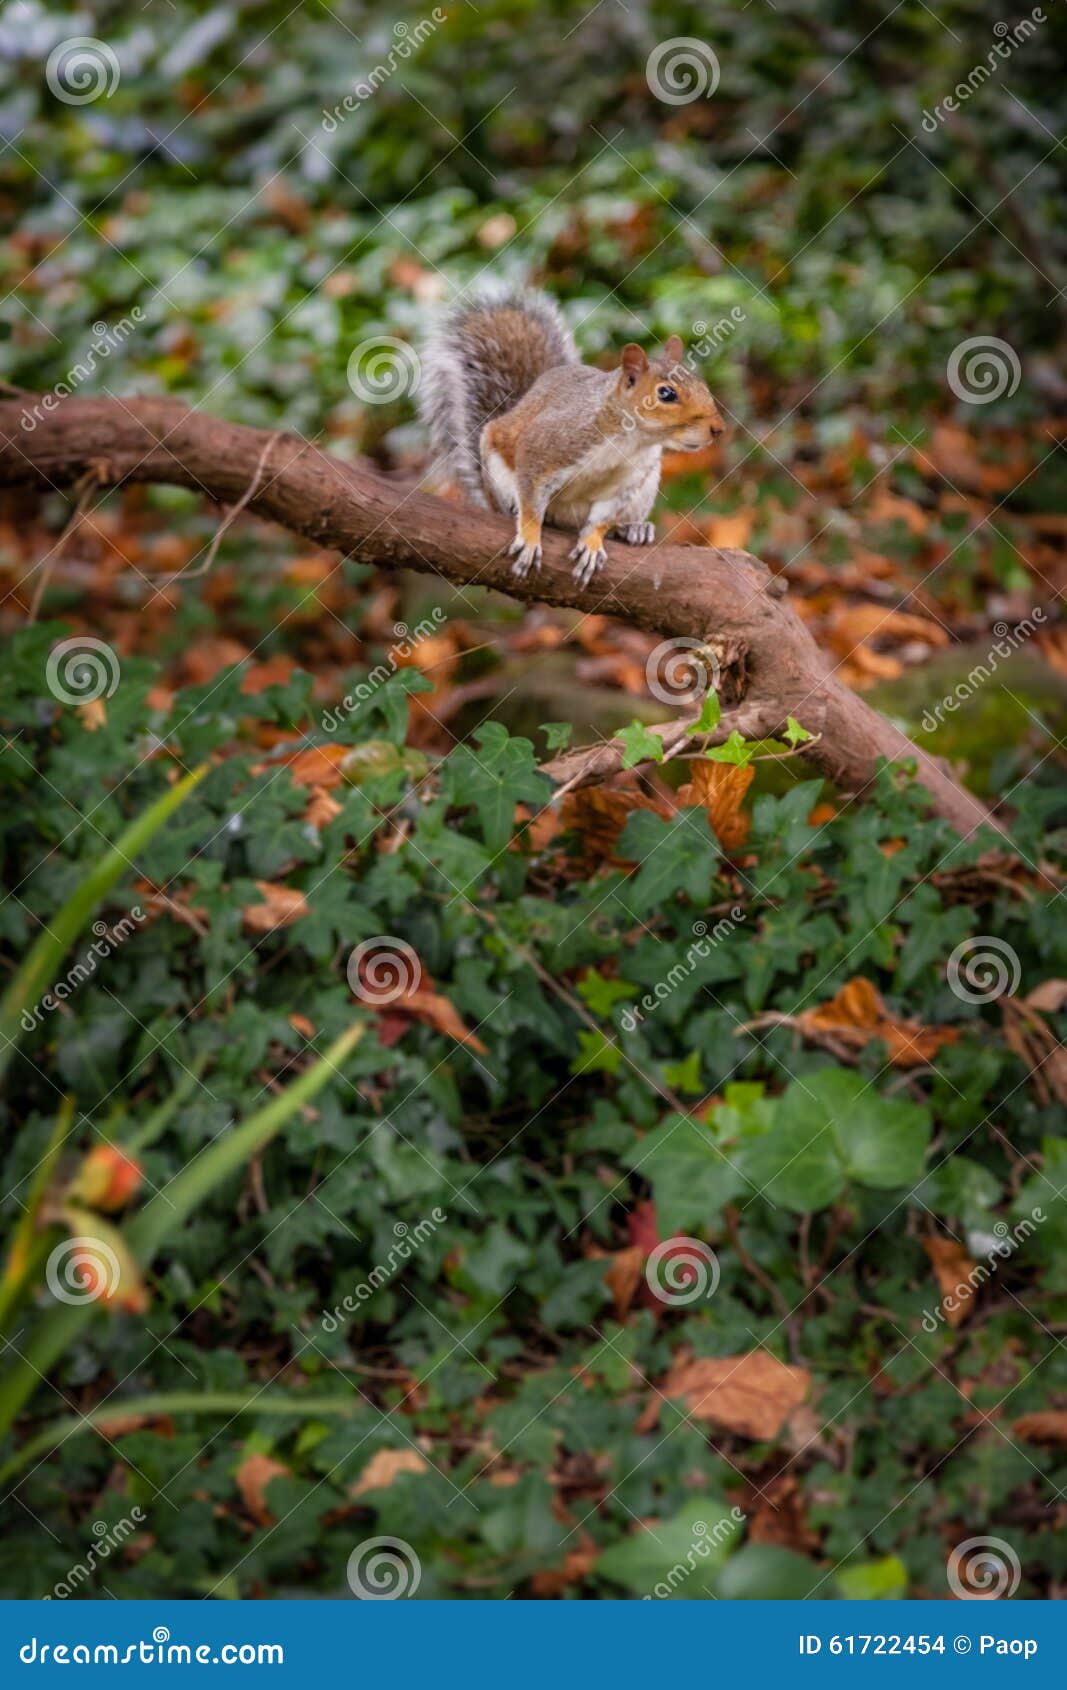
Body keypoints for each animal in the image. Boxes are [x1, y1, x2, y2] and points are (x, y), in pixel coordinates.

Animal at [419, 288, 725, 588]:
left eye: (702, 384)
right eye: (666, 393)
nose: (718, 428)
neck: (630, 440)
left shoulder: (629, 479)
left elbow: (602, 518)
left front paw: (592, 543)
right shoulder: (547, 446)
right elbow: (532, 498)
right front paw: (529, 535)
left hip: (646, 487)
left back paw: (634, 529)